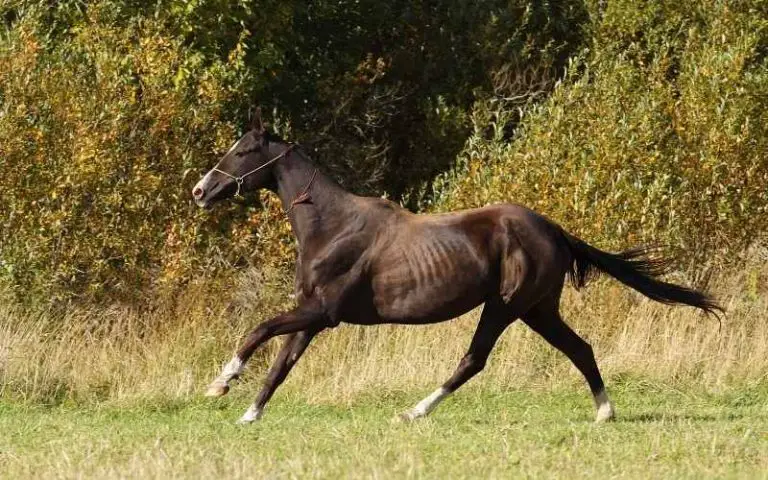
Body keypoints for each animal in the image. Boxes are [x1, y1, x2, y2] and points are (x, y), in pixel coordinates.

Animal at [192, 109, 721, 424]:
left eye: (242, 151)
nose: (200, 190)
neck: (332, 227)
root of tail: (553, 230)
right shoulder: (313, 315)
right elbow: (282, 363)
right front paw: (248, 414)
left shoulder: (326, 313)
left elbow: (260, 330)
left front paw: (220, 382)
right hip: (538, 310)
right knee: (580, 348)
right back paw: (604, 413)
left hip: (507, 306)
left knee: (475, 359)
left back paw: (414, 412)